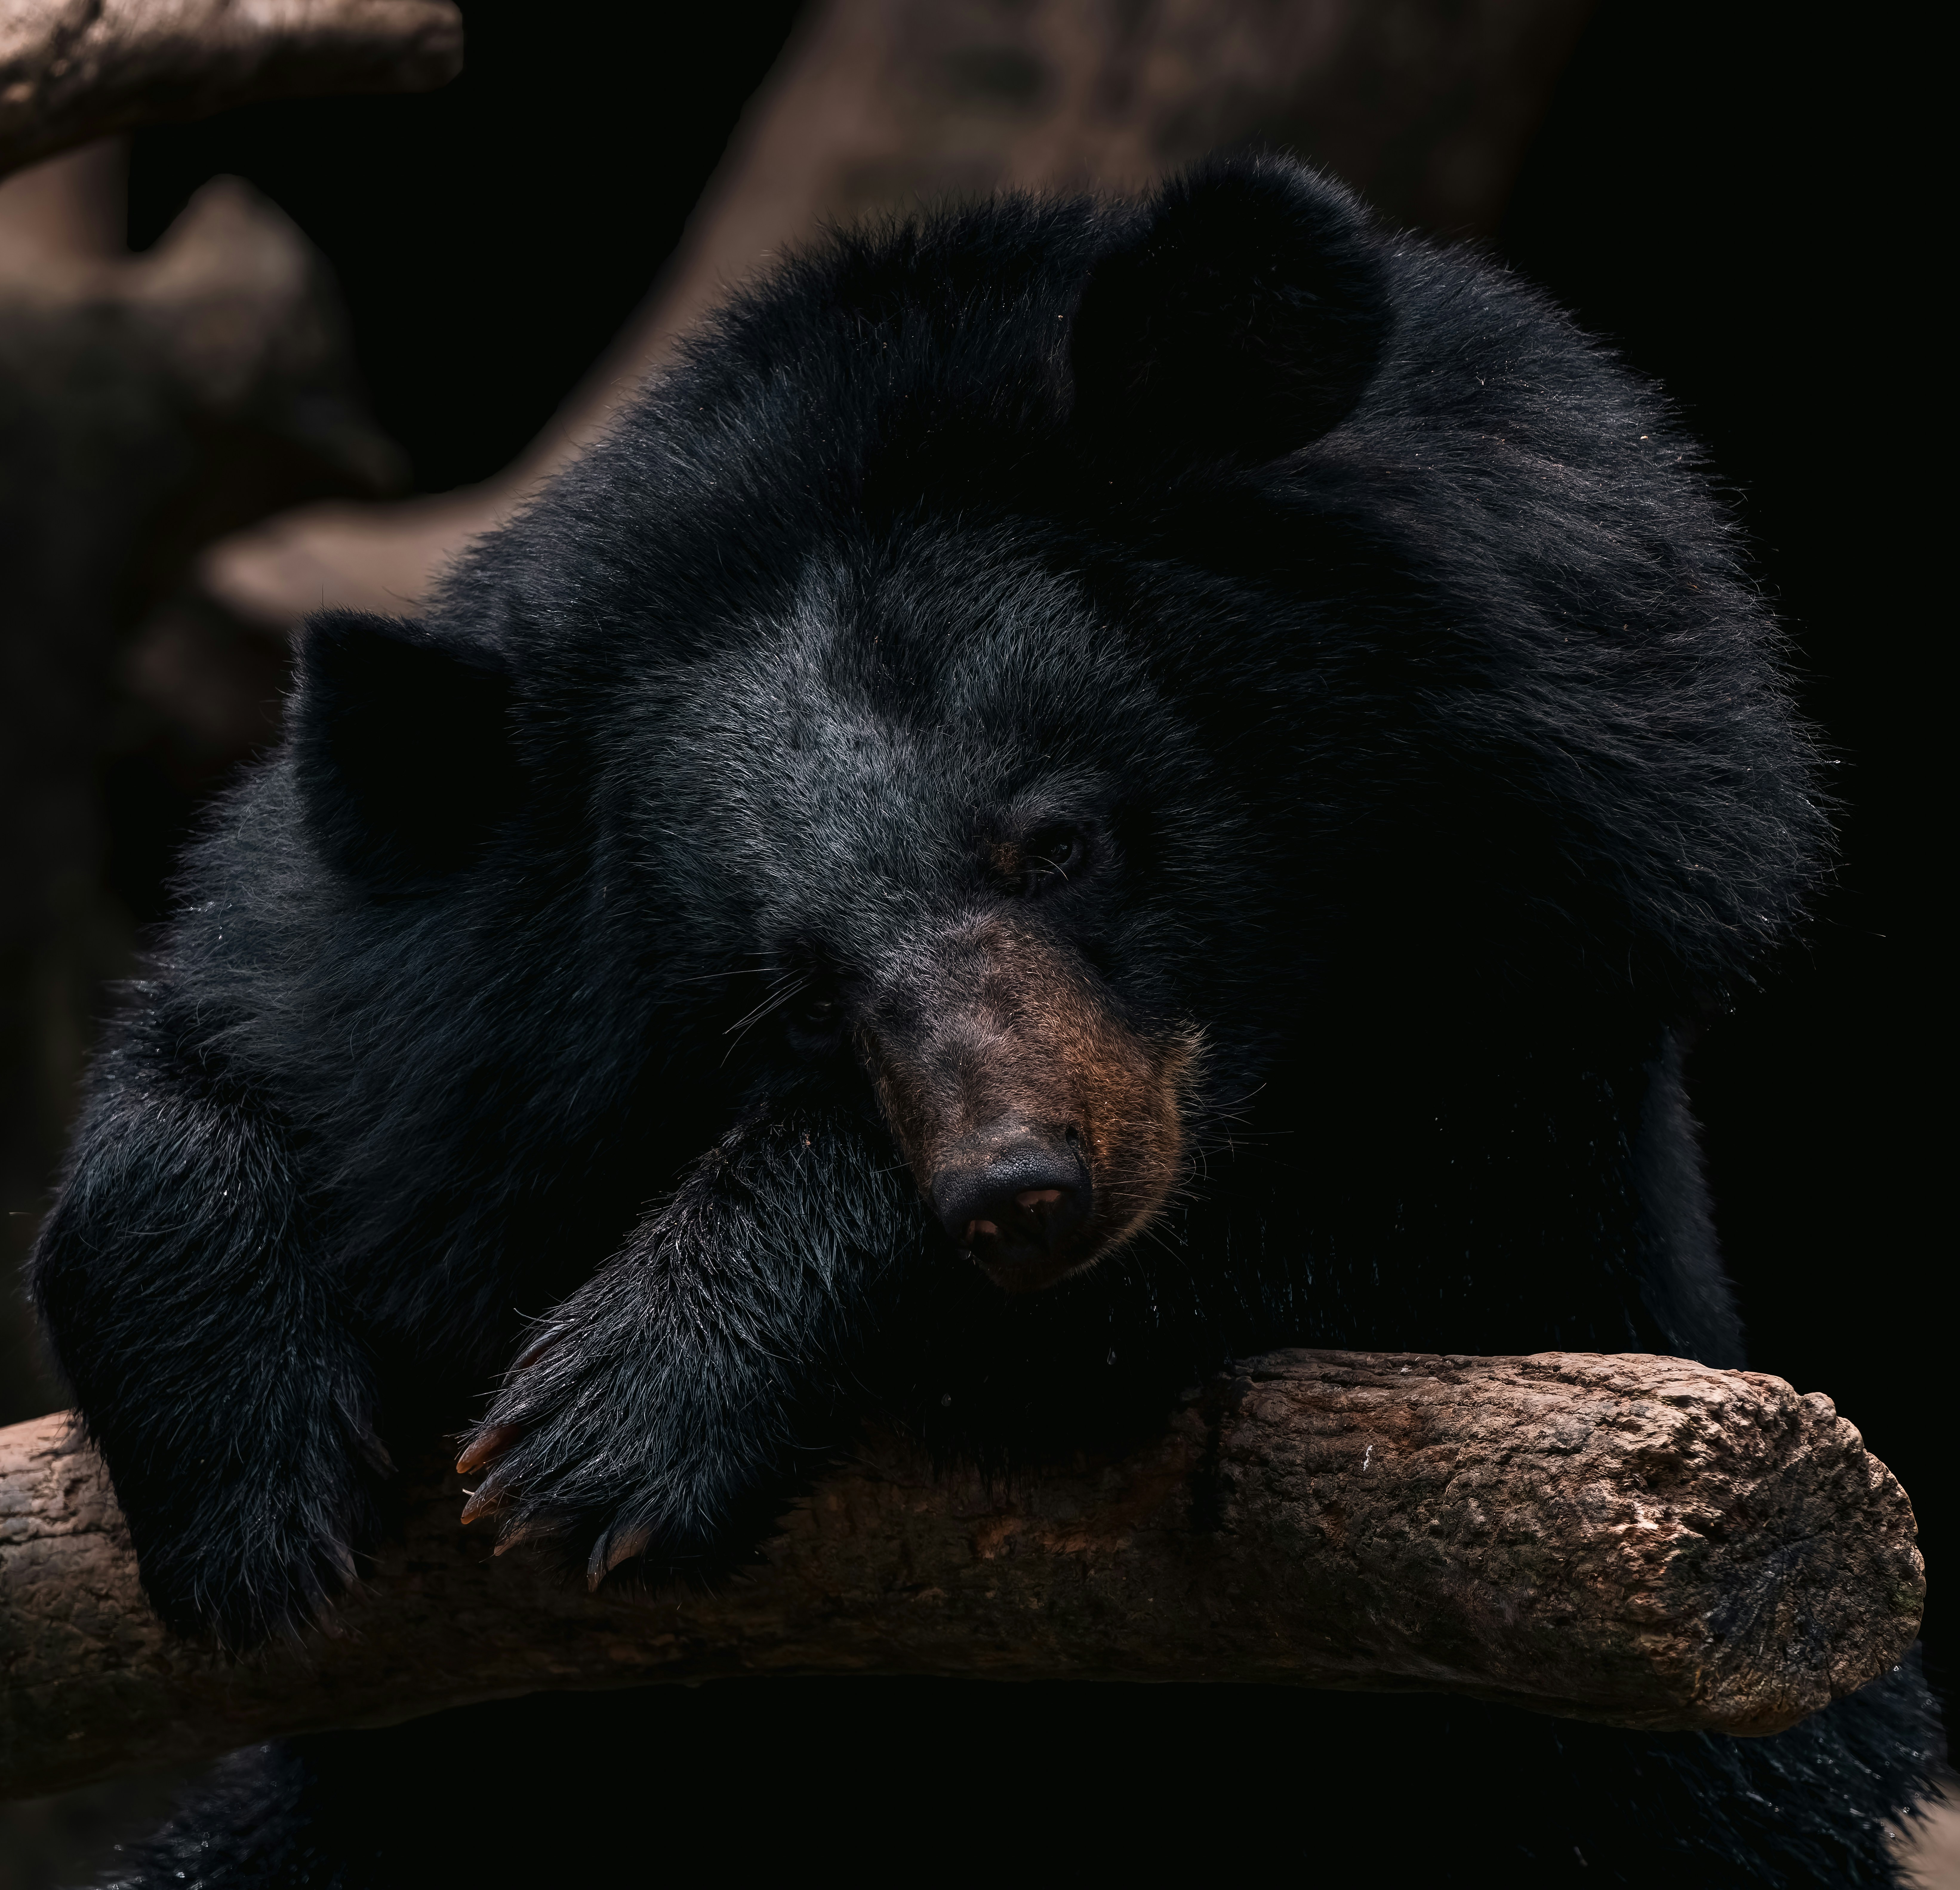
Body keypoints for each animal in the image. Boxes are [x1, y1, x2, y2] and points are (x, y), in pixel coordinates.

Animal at [29, 156, 1943, 1884]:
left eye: (1060, 841)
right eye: (790, 998)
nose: (1018, 1194)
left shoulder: (1542, 972)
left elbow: (1315, 1222)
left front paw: (605, 1423)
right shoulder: (397, 985)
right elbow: (230, 1075)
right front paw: (256, 1498)